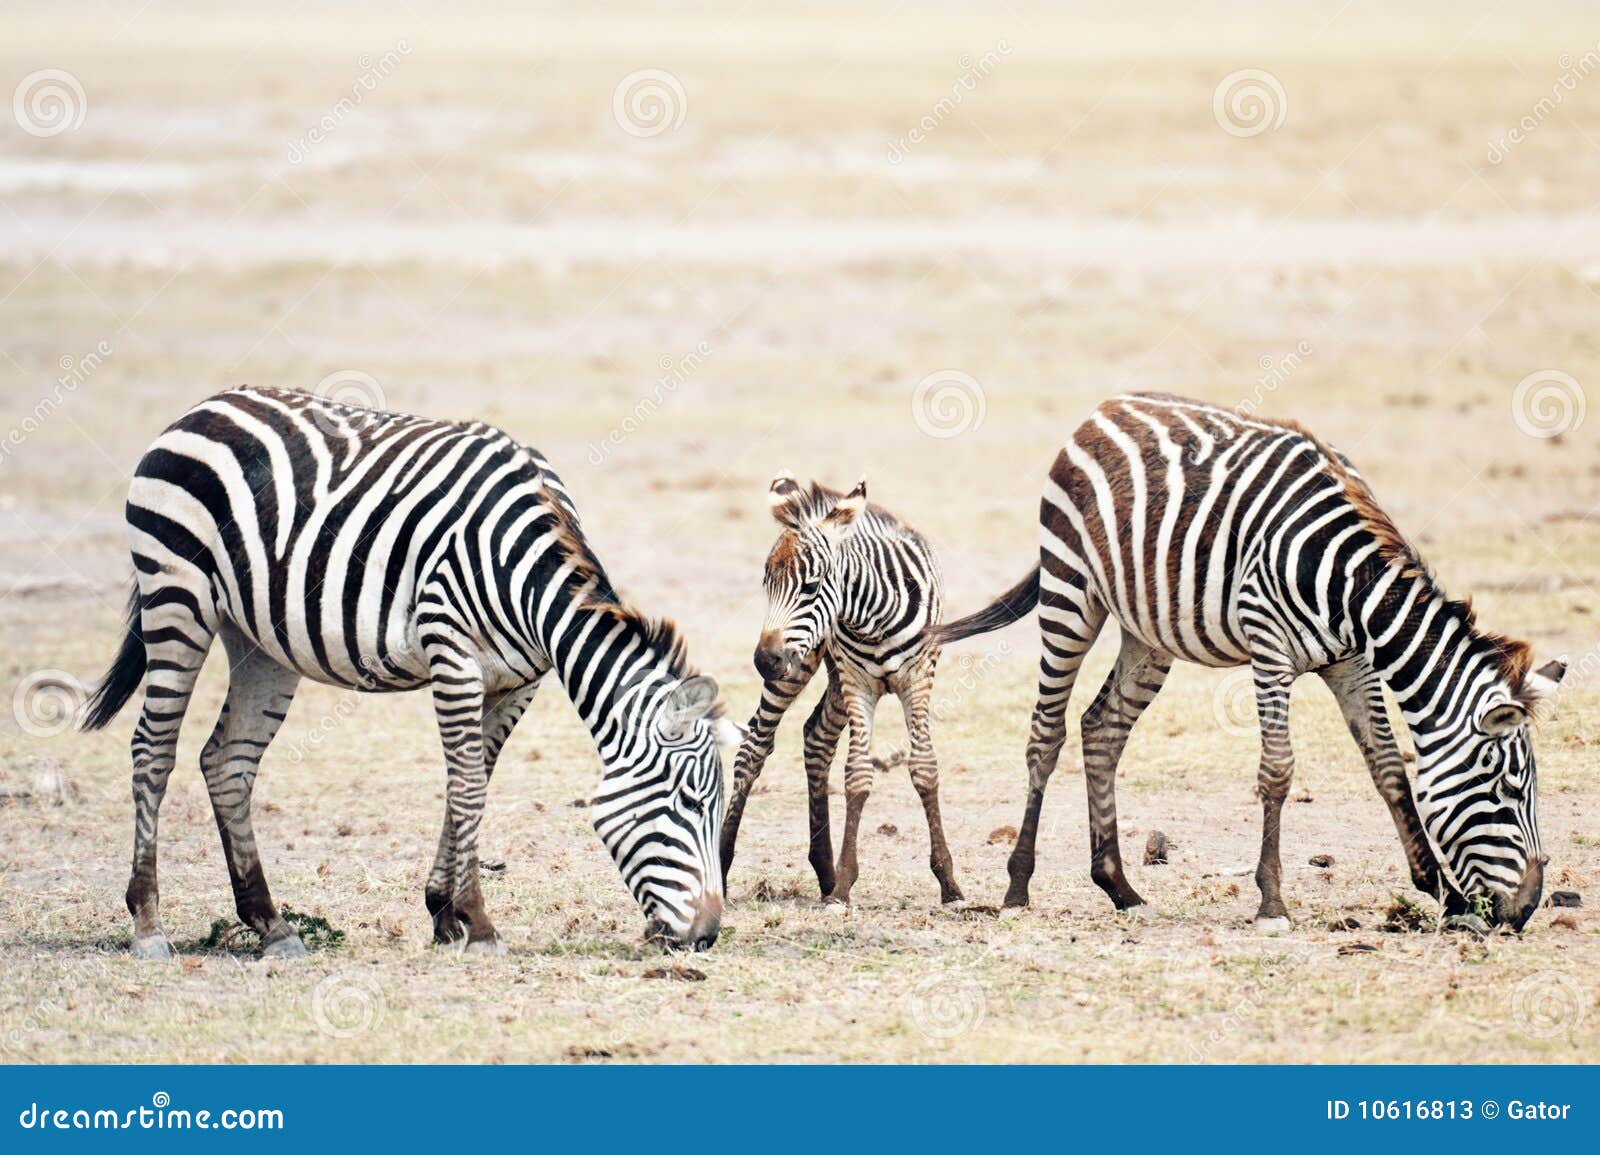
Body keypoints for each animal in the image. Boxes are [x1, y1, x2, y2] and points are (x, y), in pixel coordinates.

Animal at [79, 386, 739, 958]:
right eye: (687, 801)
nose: (707, 936)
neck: (526, 575)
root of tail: (206, 404)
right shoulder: (453, 656)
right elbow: (468, 785)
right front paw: (479, 924)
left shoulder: (519, 682)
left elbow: (476, 779)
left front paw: (444, 913)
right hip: (177, 597)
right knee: (153, 750)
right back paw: (149, 927)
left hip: (258, 641)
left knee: (228, 762)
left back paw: (272, 925)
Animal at [719, 473, 963, 907]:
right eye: (767, 583)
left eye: (811, 586)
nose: (764, 662)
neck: (875, 617)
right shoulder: (857, 681)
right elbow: (858, 775)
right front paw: (846, 884)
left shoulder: (918, 678)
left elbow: (924, 767)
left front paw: (948, 883)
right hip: (805, 666)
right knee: (754, 746)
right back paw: (726, 865)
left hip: (828, 677)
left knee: (816, 738)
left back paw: (825, 872)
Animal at [932, 392, 1564, 931]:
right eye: (1506, 788)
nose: (1527, 910)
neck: (1351, 587)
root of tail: (1105, 409)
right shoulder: (1270, 652)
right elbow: (1278, 771)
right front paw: (1273, 903)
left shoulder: (1351, 663)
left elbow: (1388, 765)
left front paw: (1445, 894)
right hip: (1070, 592)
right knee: (1046, 733)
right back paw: (1017, 888)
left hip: (1148, 631)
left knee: (1102, 728)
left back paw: (1120, 887)